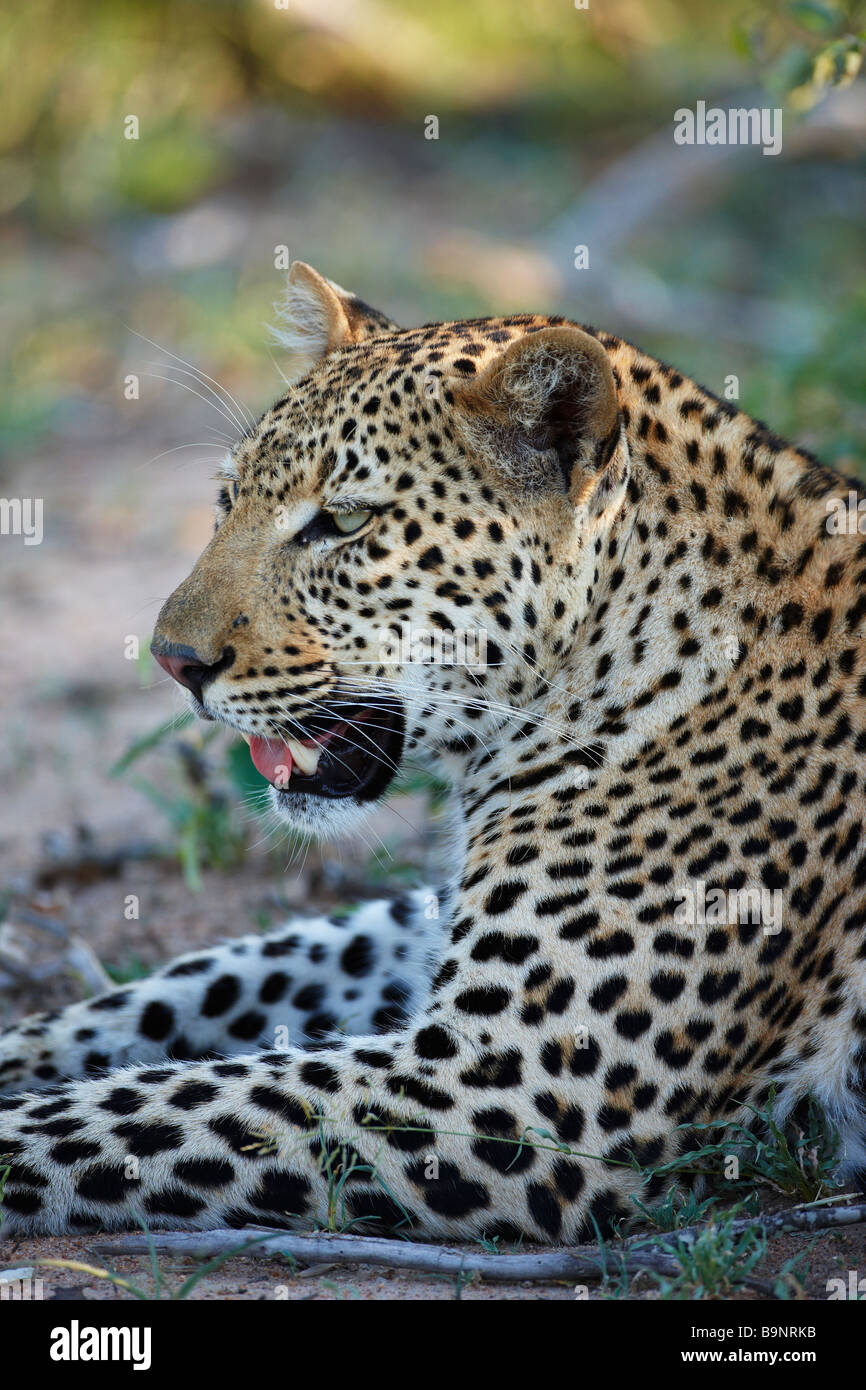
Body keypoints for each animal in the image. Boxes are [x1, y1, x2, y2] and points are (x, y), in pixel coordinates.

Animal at [2, 260, 865, 1244]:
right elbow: (206, 979)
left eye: (342, 524)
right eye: (227, 501)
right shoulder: (431, 932)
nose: (173, 661)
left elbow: (138, 1107)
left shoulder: (508, 1086)